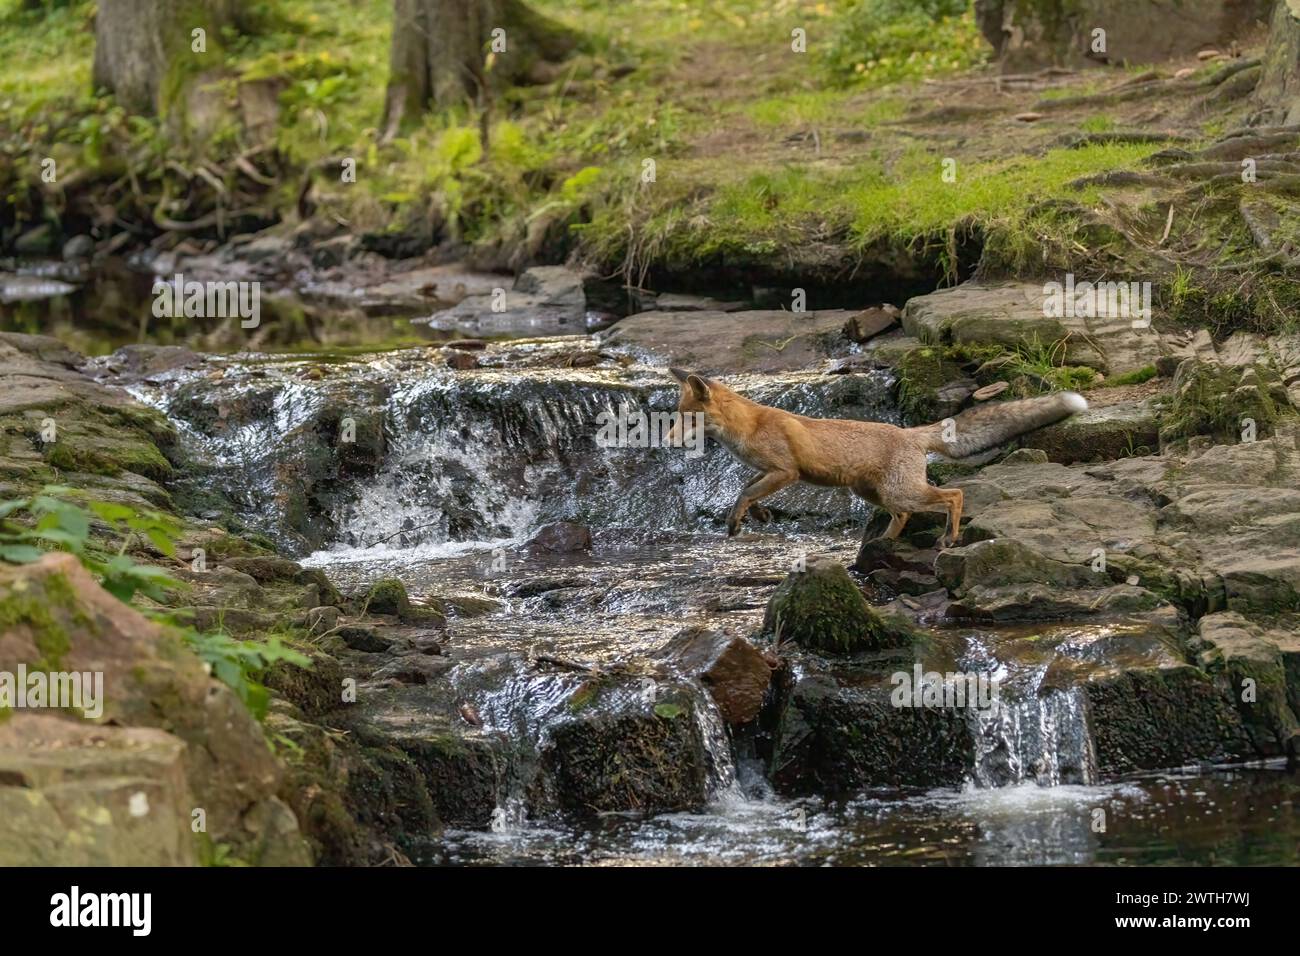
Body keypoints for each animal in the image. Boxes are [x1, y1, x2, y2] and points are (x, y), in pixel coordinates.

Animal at [663, 367, 1087, 548]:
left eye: (688, 418)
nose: (666, 441)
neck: (749, 427)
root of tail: (910, 432)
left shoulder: (786, 470)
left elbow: (745, 492)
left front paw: (738, 520)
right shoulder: (769, 472)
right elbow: (746, 490)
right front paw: (757, 516)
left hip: (900, 491)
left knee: (954, 496)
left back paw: (949, 537)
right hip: (873, 493)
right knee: (903, 516)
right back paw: (881, 544)